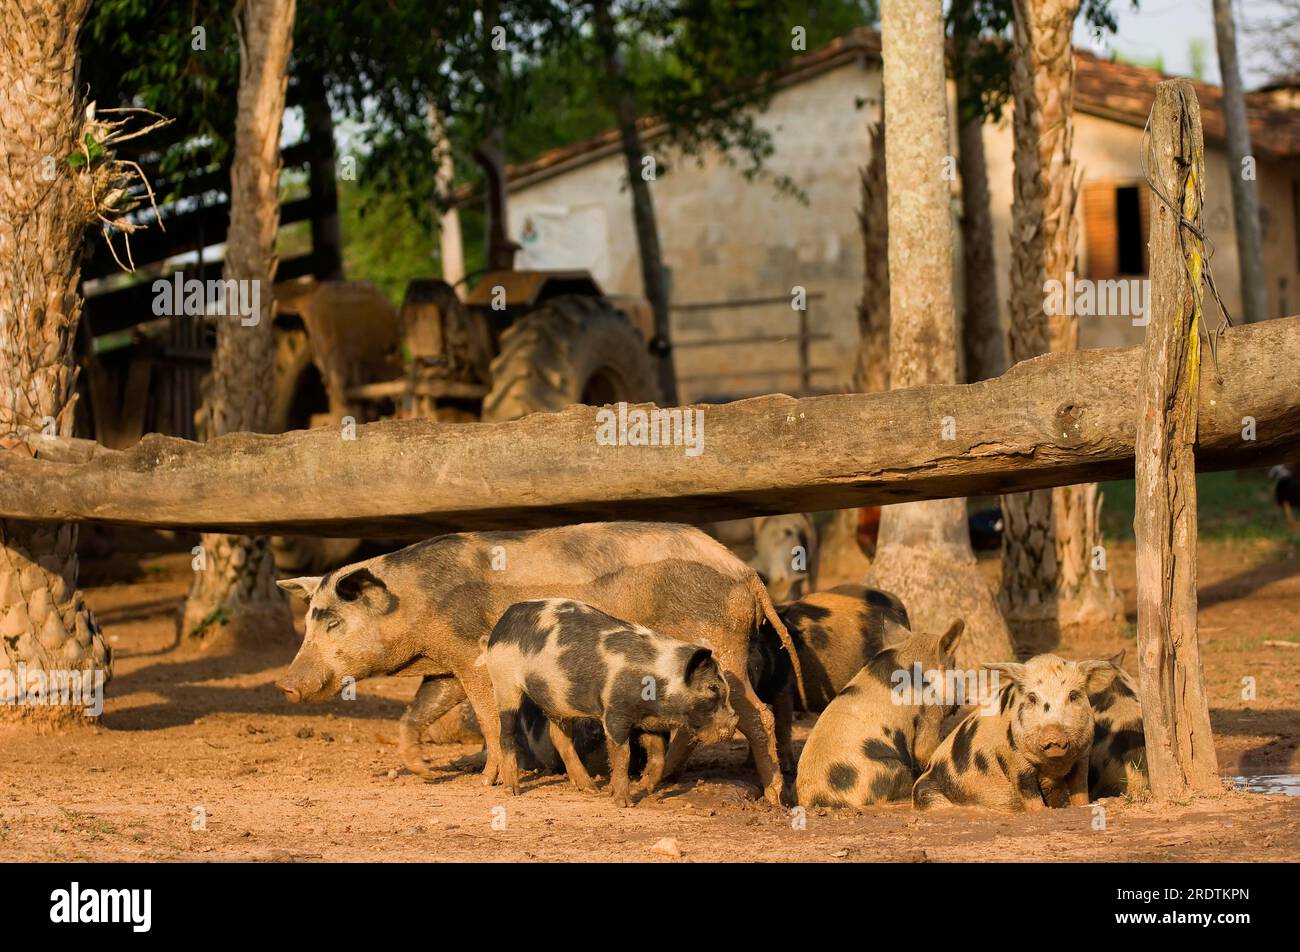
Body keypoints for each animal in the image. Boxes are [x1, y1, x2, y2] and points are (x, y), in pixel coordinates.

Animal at [481, 599, 738, 806]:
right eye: (712, 688)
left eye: (726, 688)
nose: (734, 722)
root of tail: (504, 620)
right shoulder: (615, 712)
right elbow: (622, 755)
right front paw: (624, 803)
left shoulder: (651, 722)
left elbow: (657, 757)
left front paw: (644, 787)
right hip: (504, 682)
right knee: (506, 732)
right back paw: (512, 790)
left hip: (555, 701)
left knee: (558, 736)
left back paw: (589, 789)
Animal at [796, 621, 965, 808]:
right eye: (954, 665)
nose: (964, 696)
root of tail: (817, 799)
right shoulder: (929, 711)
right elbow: (926, 748)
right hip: (887, 768)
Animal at [912, 654, 1119, 811]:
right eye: (1032, 698)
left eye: (1073, 695)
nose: (1052, 734)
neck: (1054, 767)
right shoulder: (1013, 760)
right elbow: (1031, 797)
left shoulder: (1083, 756)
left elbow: (1081, 791)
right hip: (926, 793)